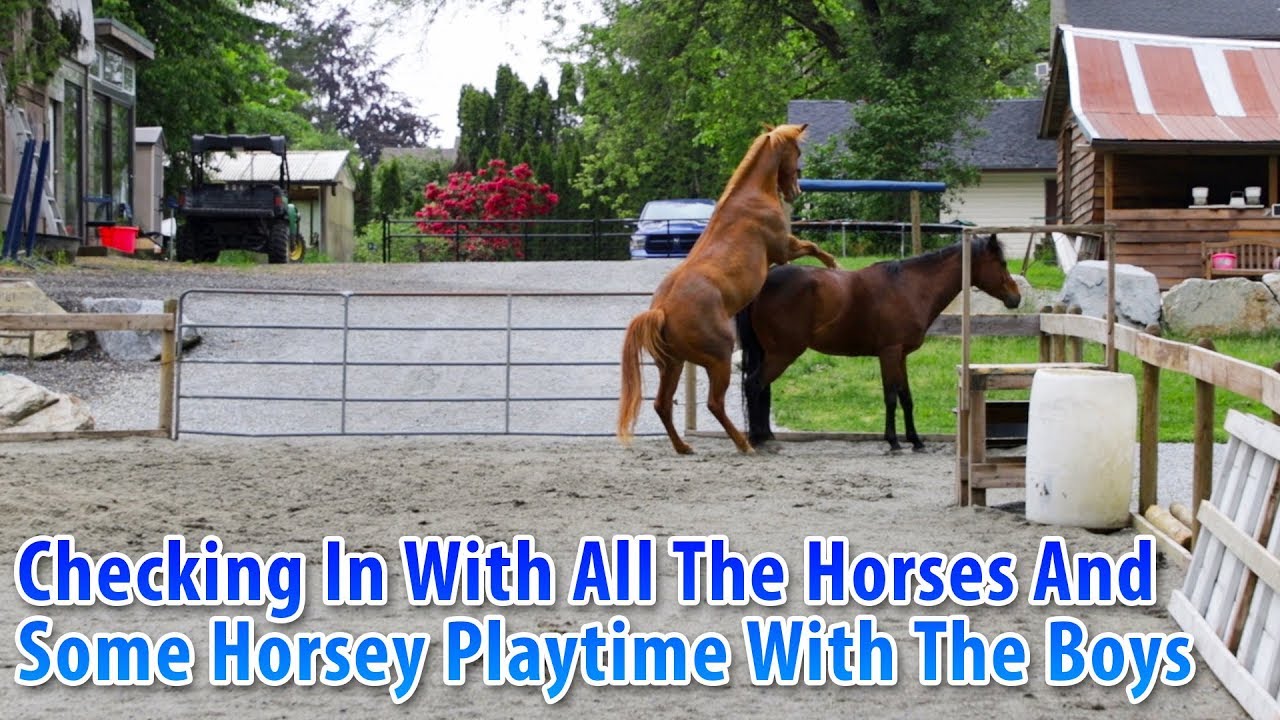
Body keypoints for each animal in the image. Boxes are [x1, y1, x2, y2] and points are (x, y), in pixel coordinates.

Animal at [617, 123, 837, 455]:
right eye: (797, 151)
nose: (795, 191)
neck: (749, 197)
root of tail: (661, 311)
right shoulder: (783, 249)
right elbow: (812, 245)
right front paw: (834, 264)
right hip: (717, 360)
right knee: (714, 403)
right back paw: (744, 444)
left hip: (672, 365)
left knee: (662, 404)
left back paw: (684, 447)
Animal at [736, 234, 1022, 452]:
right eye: (1002, 262)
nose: (1015, 298)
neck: (909, 286)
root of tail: (765, 280)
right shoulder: (889, 353)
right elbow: (891, 397)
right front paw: (893, 441)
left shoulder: (901, 355)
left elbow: (906, 397)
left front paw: (916, 441)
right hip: (782, 353)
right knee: (755, 385)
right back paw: (756, 440)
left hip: (770, 353)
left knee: (762, 388)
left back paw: (765, 436)